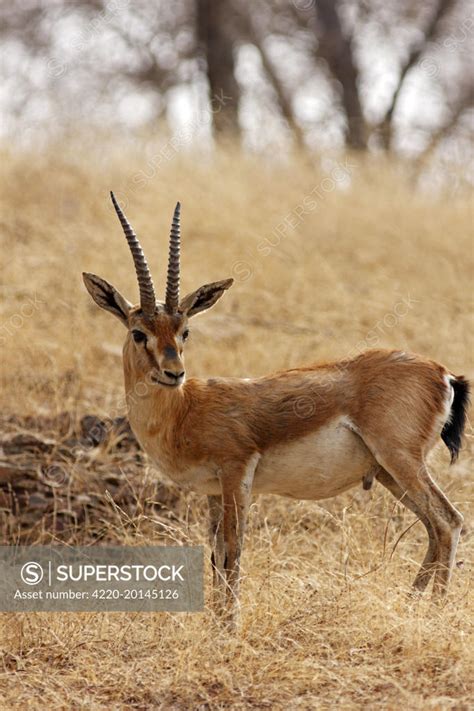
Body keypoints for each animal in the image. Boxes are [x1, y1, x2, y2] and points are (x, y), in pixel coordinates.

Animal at [83, 193, 469, 620]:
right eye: (139, 333)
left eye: (185, 331)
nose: (174, 373)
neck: (185, 410)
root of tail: (443, 373)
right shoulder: (213, 491)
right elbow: (215, 556)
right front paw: (216, 622)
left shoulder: (236, 473)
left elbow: (232, 551)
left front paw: (230, 626)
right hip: (388, 472)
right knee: (432, 527)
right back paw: (410, 605)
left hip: (400, 460)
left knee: (448, 521)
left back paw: (432, 611)